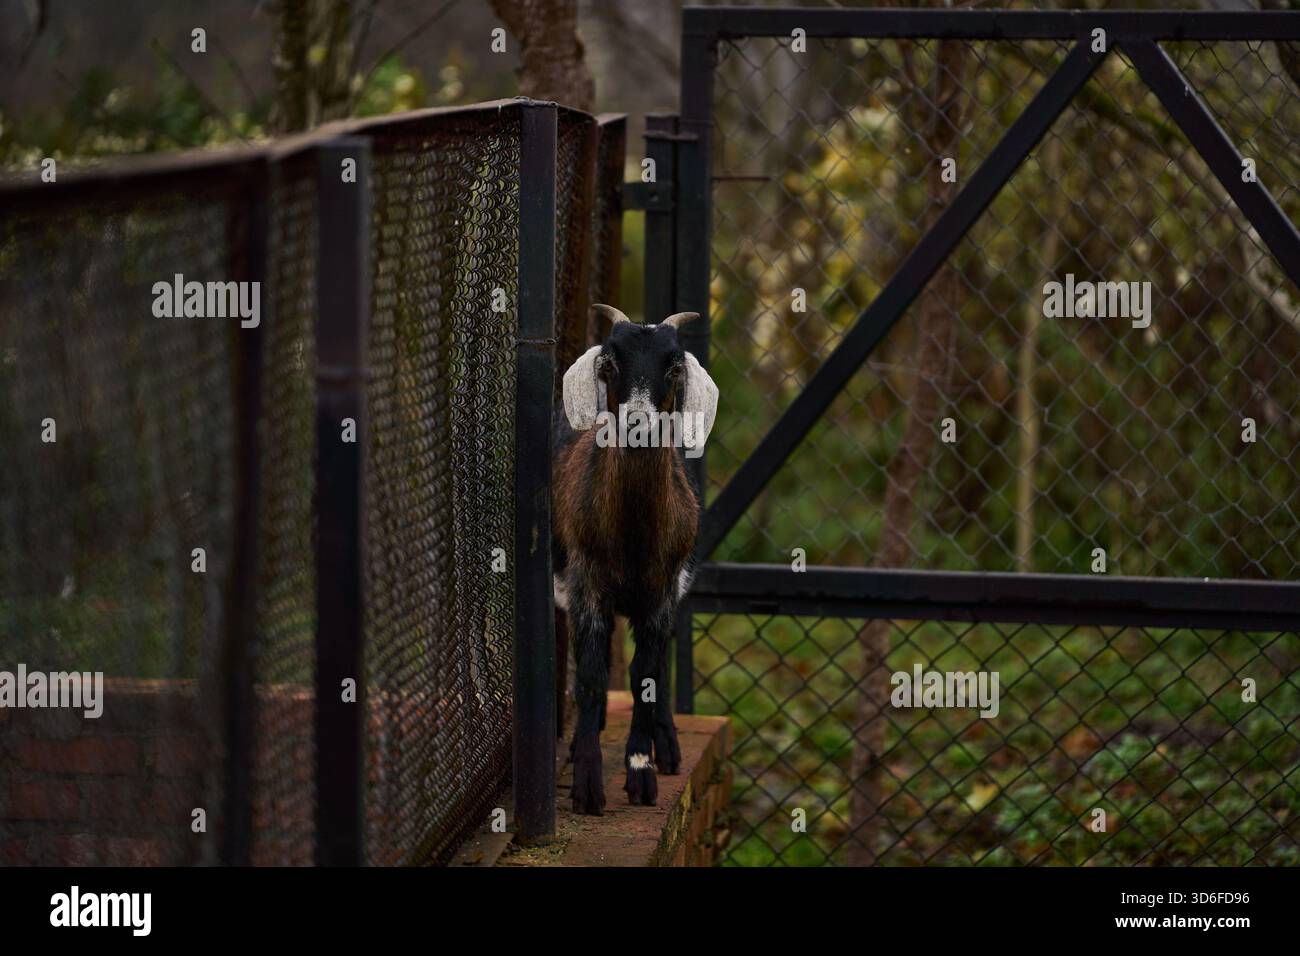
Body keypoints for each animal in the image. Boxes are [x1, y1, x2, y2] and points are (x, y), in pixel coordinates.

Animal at [552, 304, 719, 813]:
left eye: (674, 366)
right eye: (608, 364)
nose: (638, 426)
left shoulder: (663, 591)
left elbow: (646, 674)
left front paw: (642, 773)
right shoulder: (586, 585)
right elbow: (590, 676)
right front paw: (587, 784)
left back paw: (668, 750)